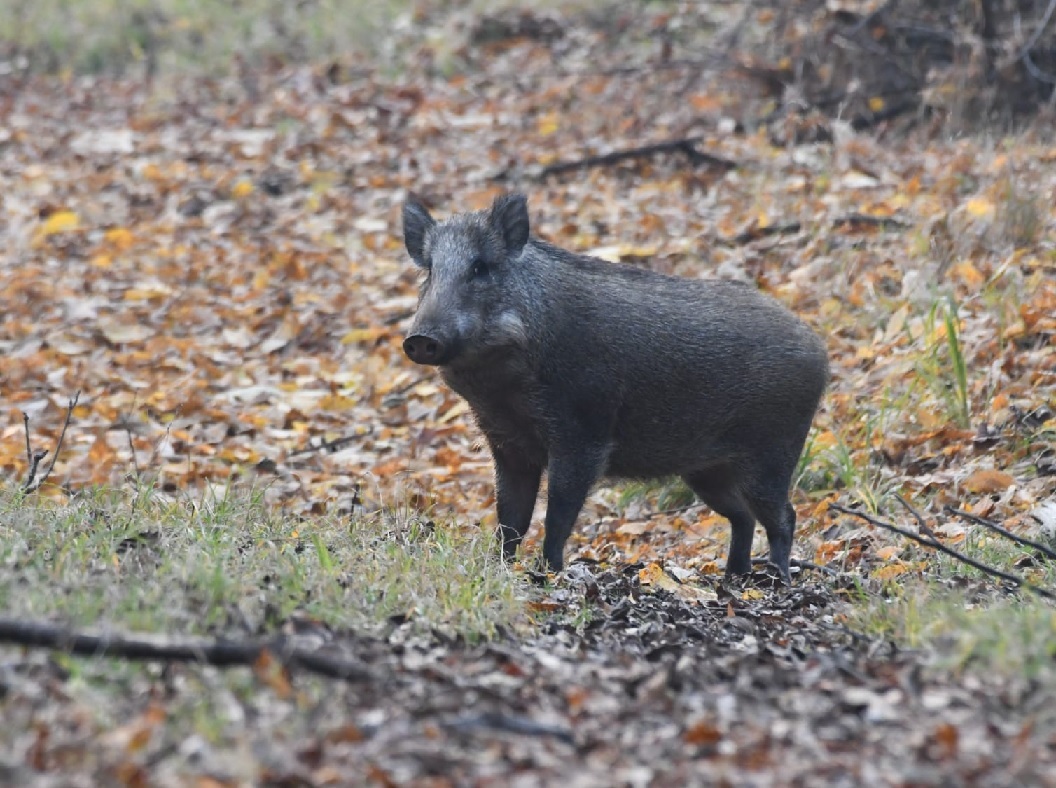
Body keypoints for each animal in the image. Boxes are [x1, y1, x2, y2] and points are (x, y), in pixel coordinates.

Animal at [401, 192, 828, 583]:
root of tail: (819, 350)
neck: (504, 391)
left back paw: (778, 580)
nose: (420, 339)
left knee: (784, 517)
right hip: (707, 471)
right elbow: (510, 519)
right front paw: (500, 572)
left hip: (773, 454)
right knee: (742, 516)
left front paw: (547, 574)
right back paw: (733, 578)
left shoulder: (583, 434)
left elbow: (558, 513)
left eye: (480, 267)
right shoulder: (508, 445)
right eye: (430, 271)